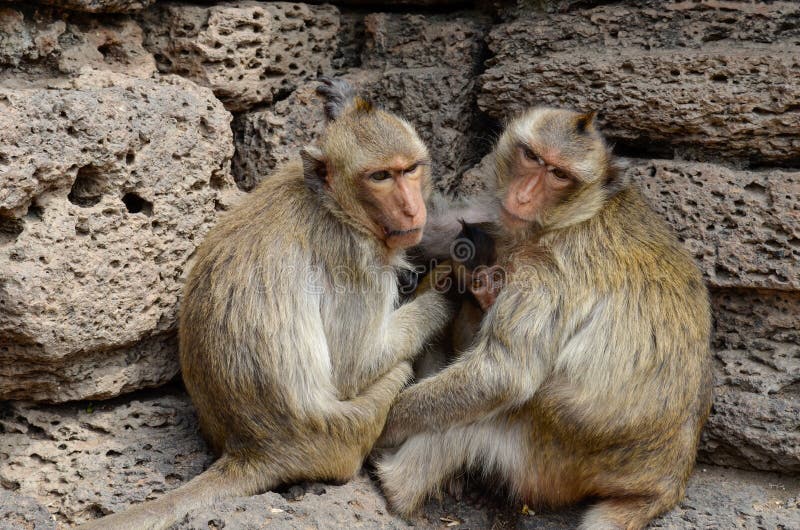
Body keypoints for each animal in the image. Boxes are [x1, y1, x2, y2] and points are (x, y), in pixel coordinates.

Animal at [79, 78, 454, 530]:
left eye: (410, 169)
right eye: (380, 176)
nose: (412, 209)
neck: (333, 205)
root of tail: (252, 448)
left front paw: (341, 101)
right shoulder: (354, 258)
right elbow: (355, 367)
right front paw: (444, 294)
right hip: (342, 433)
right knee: (395, 372)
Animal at [376, 107, 713, 530]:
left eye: (559, 175)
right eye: (532, 157)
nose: (523, 196)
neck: (577, 214)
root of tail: (670, 477)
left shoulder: (547, 271)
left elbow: (502, 375)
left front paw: (384, 425)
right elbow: (433, 227)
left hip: (558, 455)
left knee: (497, 410)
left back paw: (394, 485)